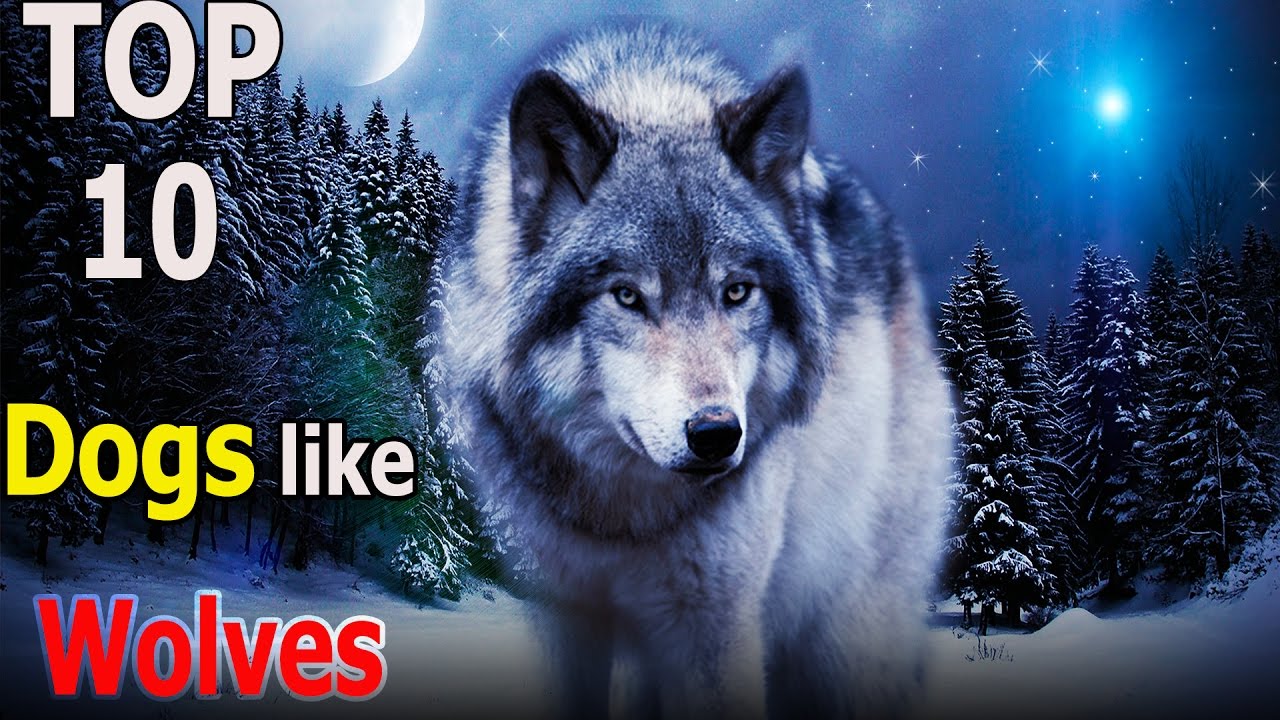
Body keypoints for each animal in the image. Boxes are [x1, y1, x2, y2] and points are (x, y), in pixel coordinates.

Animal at [444, 25, 951, 720]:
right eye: (627, 296)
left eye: (736, 292)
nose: (716, 434)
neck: (619, 518)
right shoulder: (557, 614)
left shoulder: (714, 627)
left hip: (847, 633)